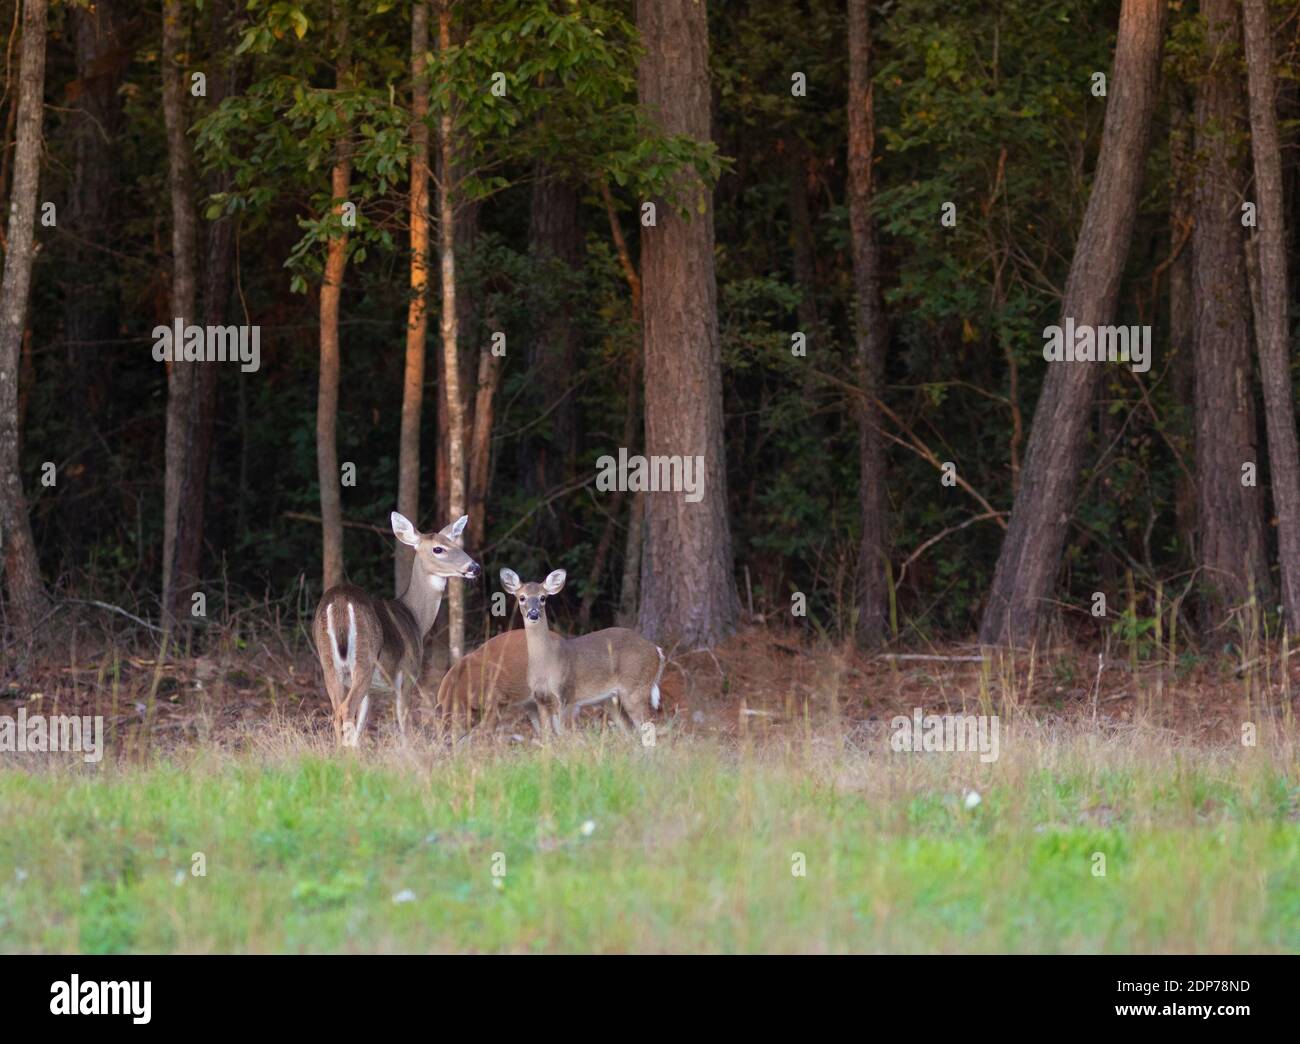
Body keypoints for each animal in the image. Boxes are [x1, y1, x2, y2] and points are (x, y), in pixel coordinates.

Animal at [312, 512, 480, 746]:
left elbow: (362, 724)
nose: (474, 567)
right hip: (364, 660)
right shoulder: (407, 674)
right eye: (438, 549)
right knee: (345, 710)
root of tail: (340, 603)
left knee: (338, 712)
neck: (416, 619)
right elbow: (404, 724)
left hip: (329, 664)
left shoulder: (372, 690)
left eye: (455, 543)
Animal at [498, 568, 665, 739]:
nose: (533, 614)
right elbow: (547, 736)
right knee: (630, 730)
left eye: (542, 597)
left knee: (648, 726)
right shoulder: (540, 699)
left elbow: (566, 735)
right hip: (611, 699)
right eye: (522, 597)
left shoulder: (566, 696)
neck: (546, 664)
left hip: (636, 687)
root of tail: (657, 651)